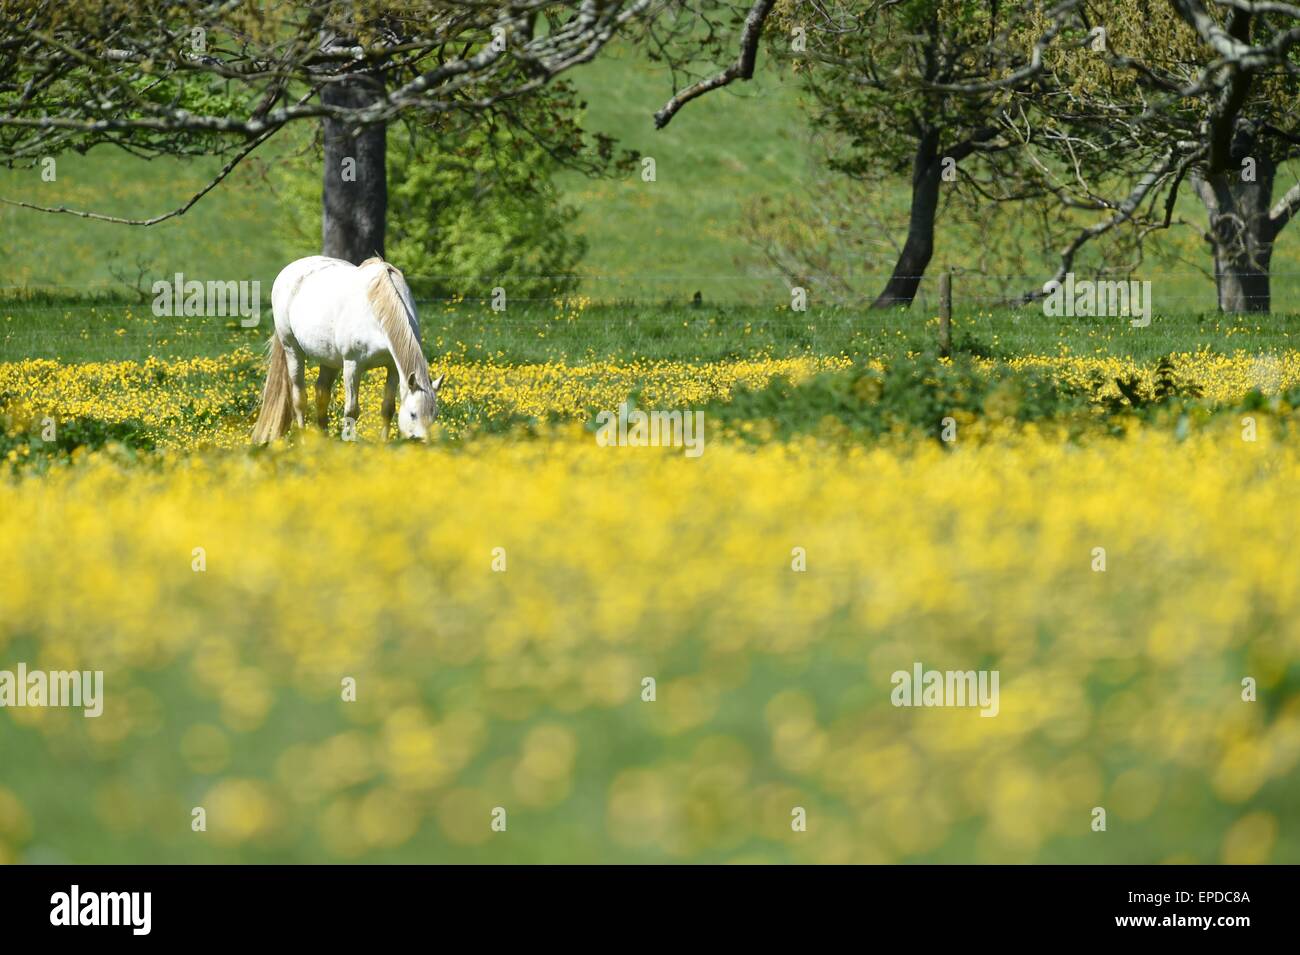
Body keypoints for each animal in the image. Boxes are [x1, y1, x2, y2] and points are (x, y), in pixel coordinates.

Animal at [251, 255, 445, 444]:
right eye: (413, 414)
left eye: (434, 414)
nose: (424, 443)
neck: (377, 308)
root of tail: (289, 270)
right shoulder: (352, 366)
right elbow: (351, 410)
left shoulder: (393, 368)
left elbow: (388, 408)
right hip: (292, 350)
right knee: (300, 399)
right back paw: (304, 441)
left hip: (329, 359)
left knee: (321, 394)